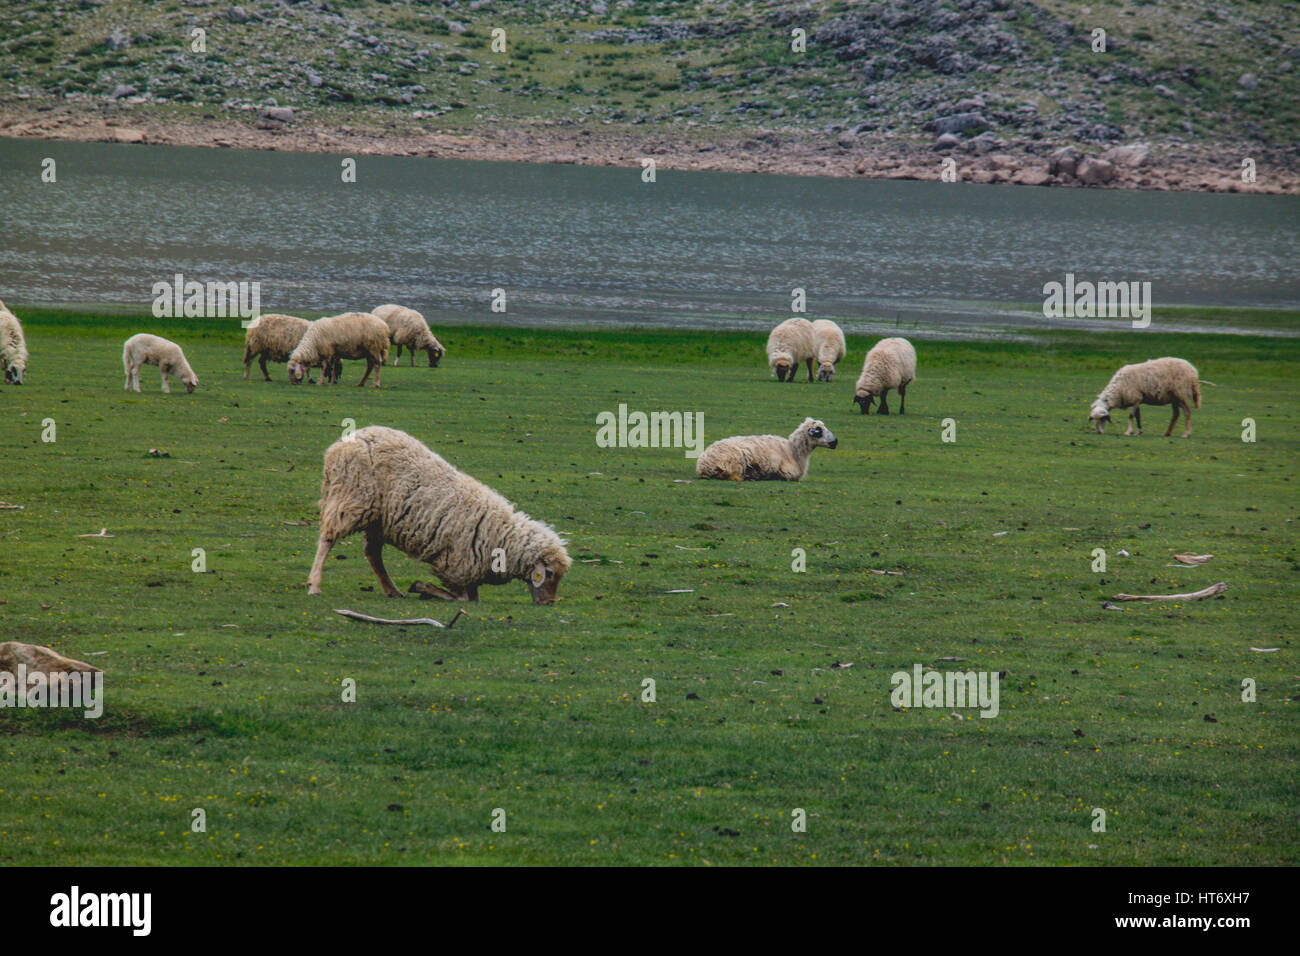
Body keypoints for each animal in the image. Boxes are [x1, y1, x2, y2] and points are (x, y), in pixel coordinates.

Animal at [307, 426, 572, 604]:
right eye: (548, 574)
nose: (549, 603)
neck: (502, 538)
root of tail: (342, 443)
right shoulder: (456, 567)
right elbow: (462, 599)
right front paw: (423, 587)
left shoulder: (468, 573)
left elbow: (471, 598)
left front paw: (421, 588)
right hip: (352, 499)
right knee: (328, 539)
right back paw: (314, 584)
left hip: (377, 519)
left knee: (372, 554)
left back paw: (392, 589)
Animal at [696, 417, 837, 481]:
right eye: (819, 431)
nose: (836, 442)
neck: (792, 450)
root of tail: (703, 465)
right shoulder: (787, 472)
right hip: (736, 460)